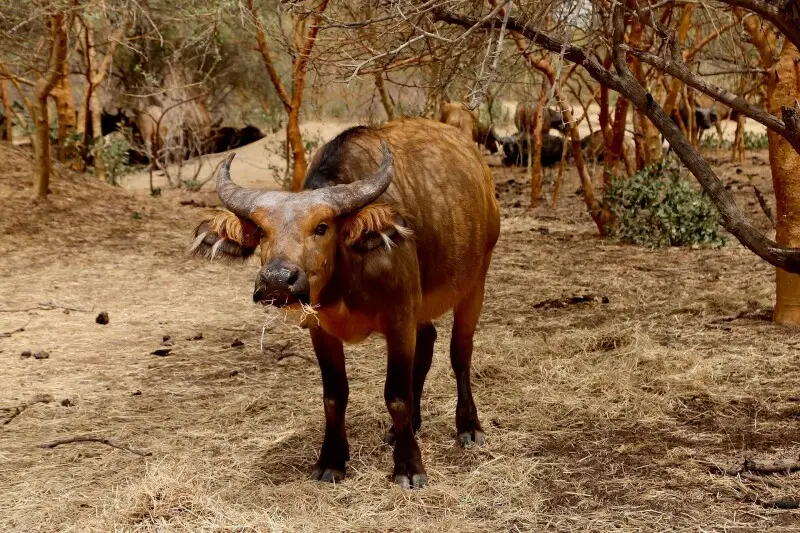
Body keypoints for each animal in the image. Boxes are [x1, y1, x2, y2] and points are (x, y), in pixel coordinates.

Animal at [191, 118, 500, 488]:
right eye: (262, 232)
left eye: (322, 227)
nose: (278, 280)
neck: (346, 277)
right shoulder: (320, 329)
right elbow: (334, 395)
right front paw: (332, 460)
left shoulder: (399, 321)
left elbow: (397, 395)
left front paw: (409, 466)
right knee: (427, 344)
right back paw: (408, 427)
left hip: (475, 283)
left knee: (460, 353)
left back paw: (468, 425)